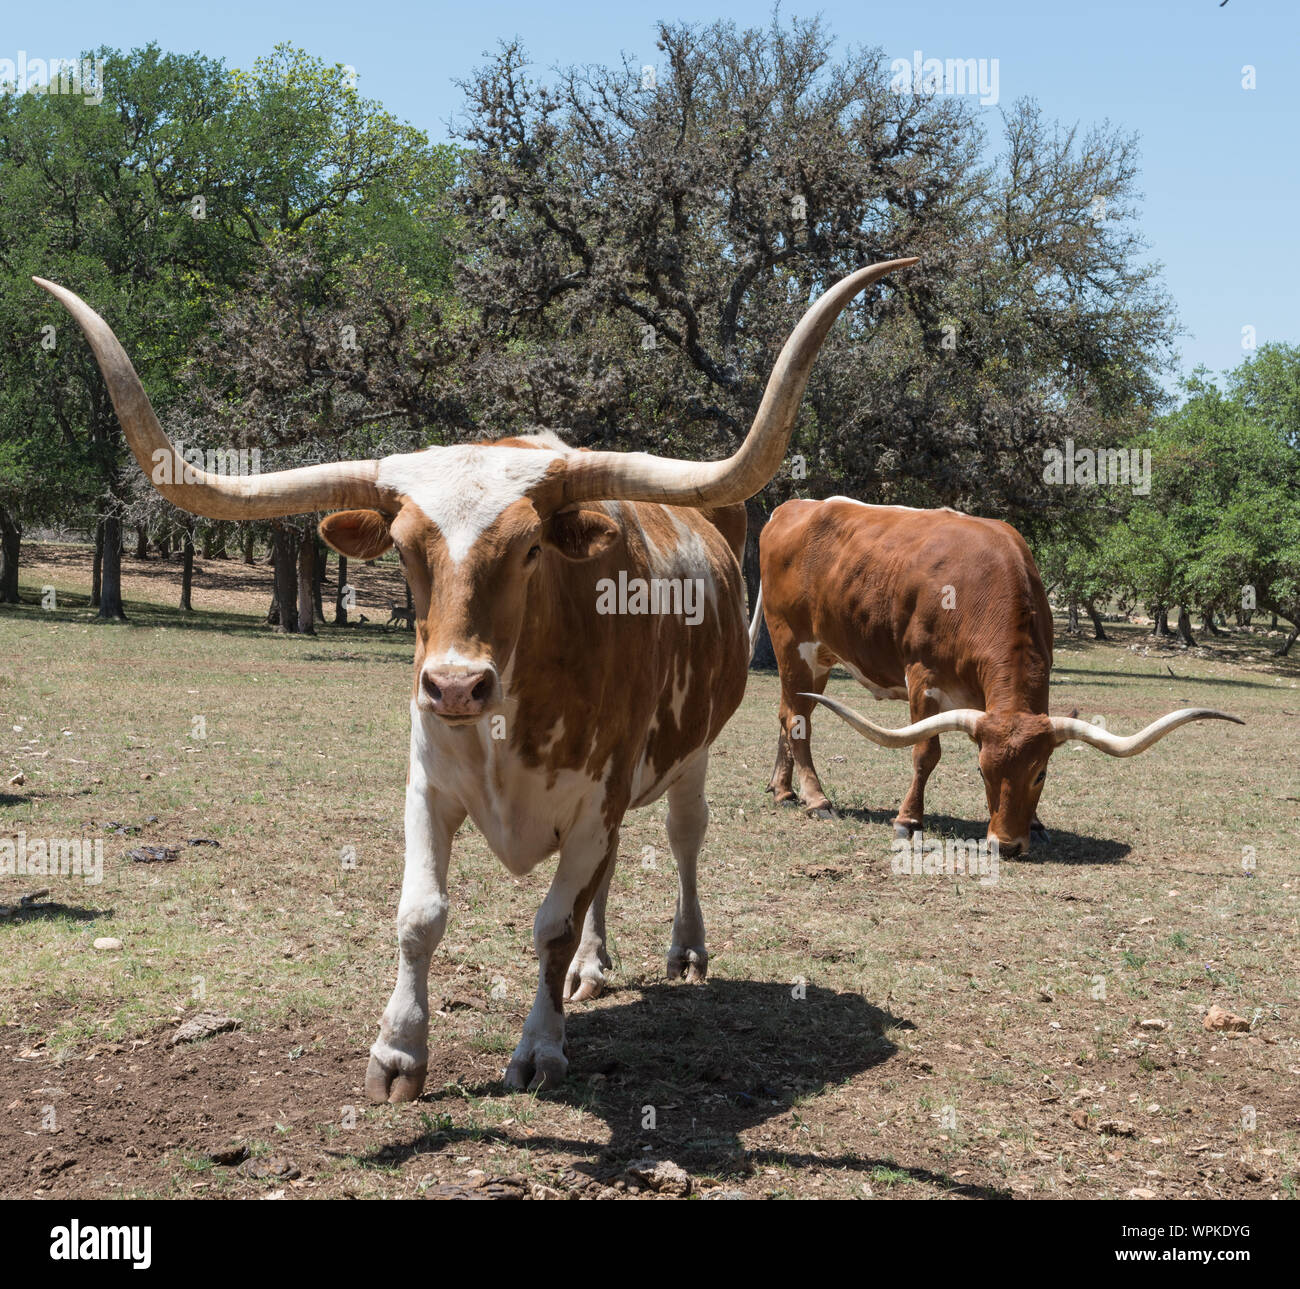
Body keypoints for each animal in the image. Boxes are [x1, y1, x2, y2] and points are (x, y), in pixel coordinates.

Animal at [37, 257, 918, 1100]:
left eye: (530, 547)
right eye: (402, 546)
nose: (456, 686)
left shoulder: (597, 796)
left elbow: (551, 921)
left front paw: (540, 1048)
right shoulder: (429, 784)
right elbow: (421, 915)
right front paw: (399, 1049)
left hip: (694, 749)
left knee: (682, 836)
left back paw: (685, 948)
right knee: (607, 876)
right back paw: (592, 967)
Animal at [755, 497, 1242, 855]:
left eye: (1040, 774)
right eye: (981, 771)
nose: (1006, 845)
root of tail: (790, 508)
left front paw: (1039, 823)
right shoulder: (921, 678)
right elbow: (925, 753)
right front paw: (908, 820)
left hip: (820, 656)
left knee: (789, 714)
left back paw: (782, 790)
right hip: (792, 643)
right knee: (797, 721)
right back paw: (816, 799)